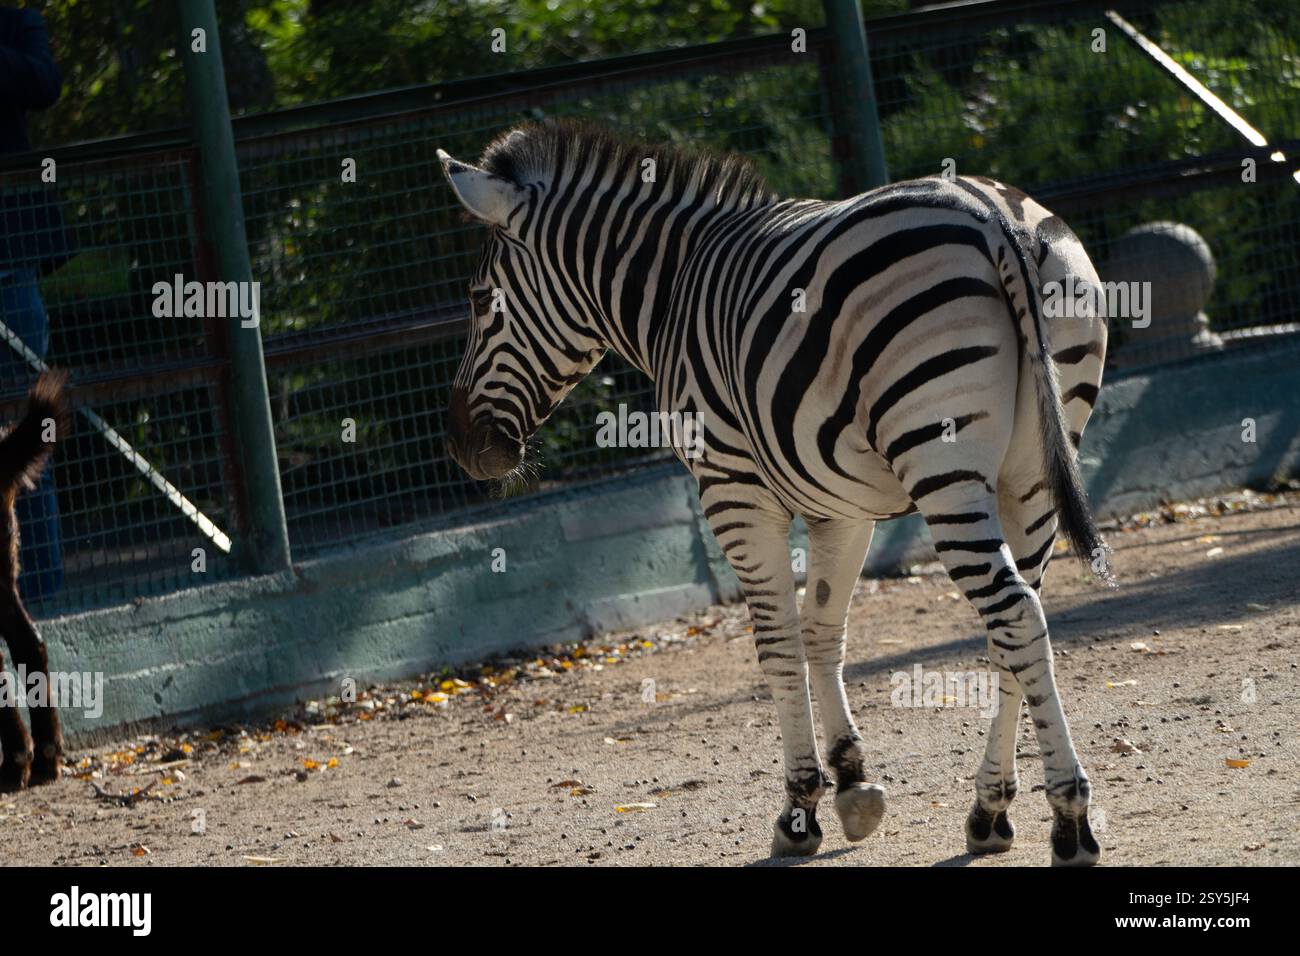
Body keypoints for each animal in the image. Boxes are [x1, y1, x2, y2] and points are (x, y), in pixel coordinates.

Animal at [438, 120, 1109, 866]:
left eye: (478, 301)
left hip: (941, 461)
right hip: (1033, 471)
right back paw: (989, 809)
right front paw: (853, 779)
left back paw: (1070, 820)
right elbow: (823, 629)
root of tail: (991, 216)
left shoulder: (731, 490)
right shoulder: (840, 507)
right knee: (1020, 623)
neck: (672, 289)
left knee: (1012, 613)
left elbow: (778, 641)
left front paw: (800, 809)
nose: (461, 447)